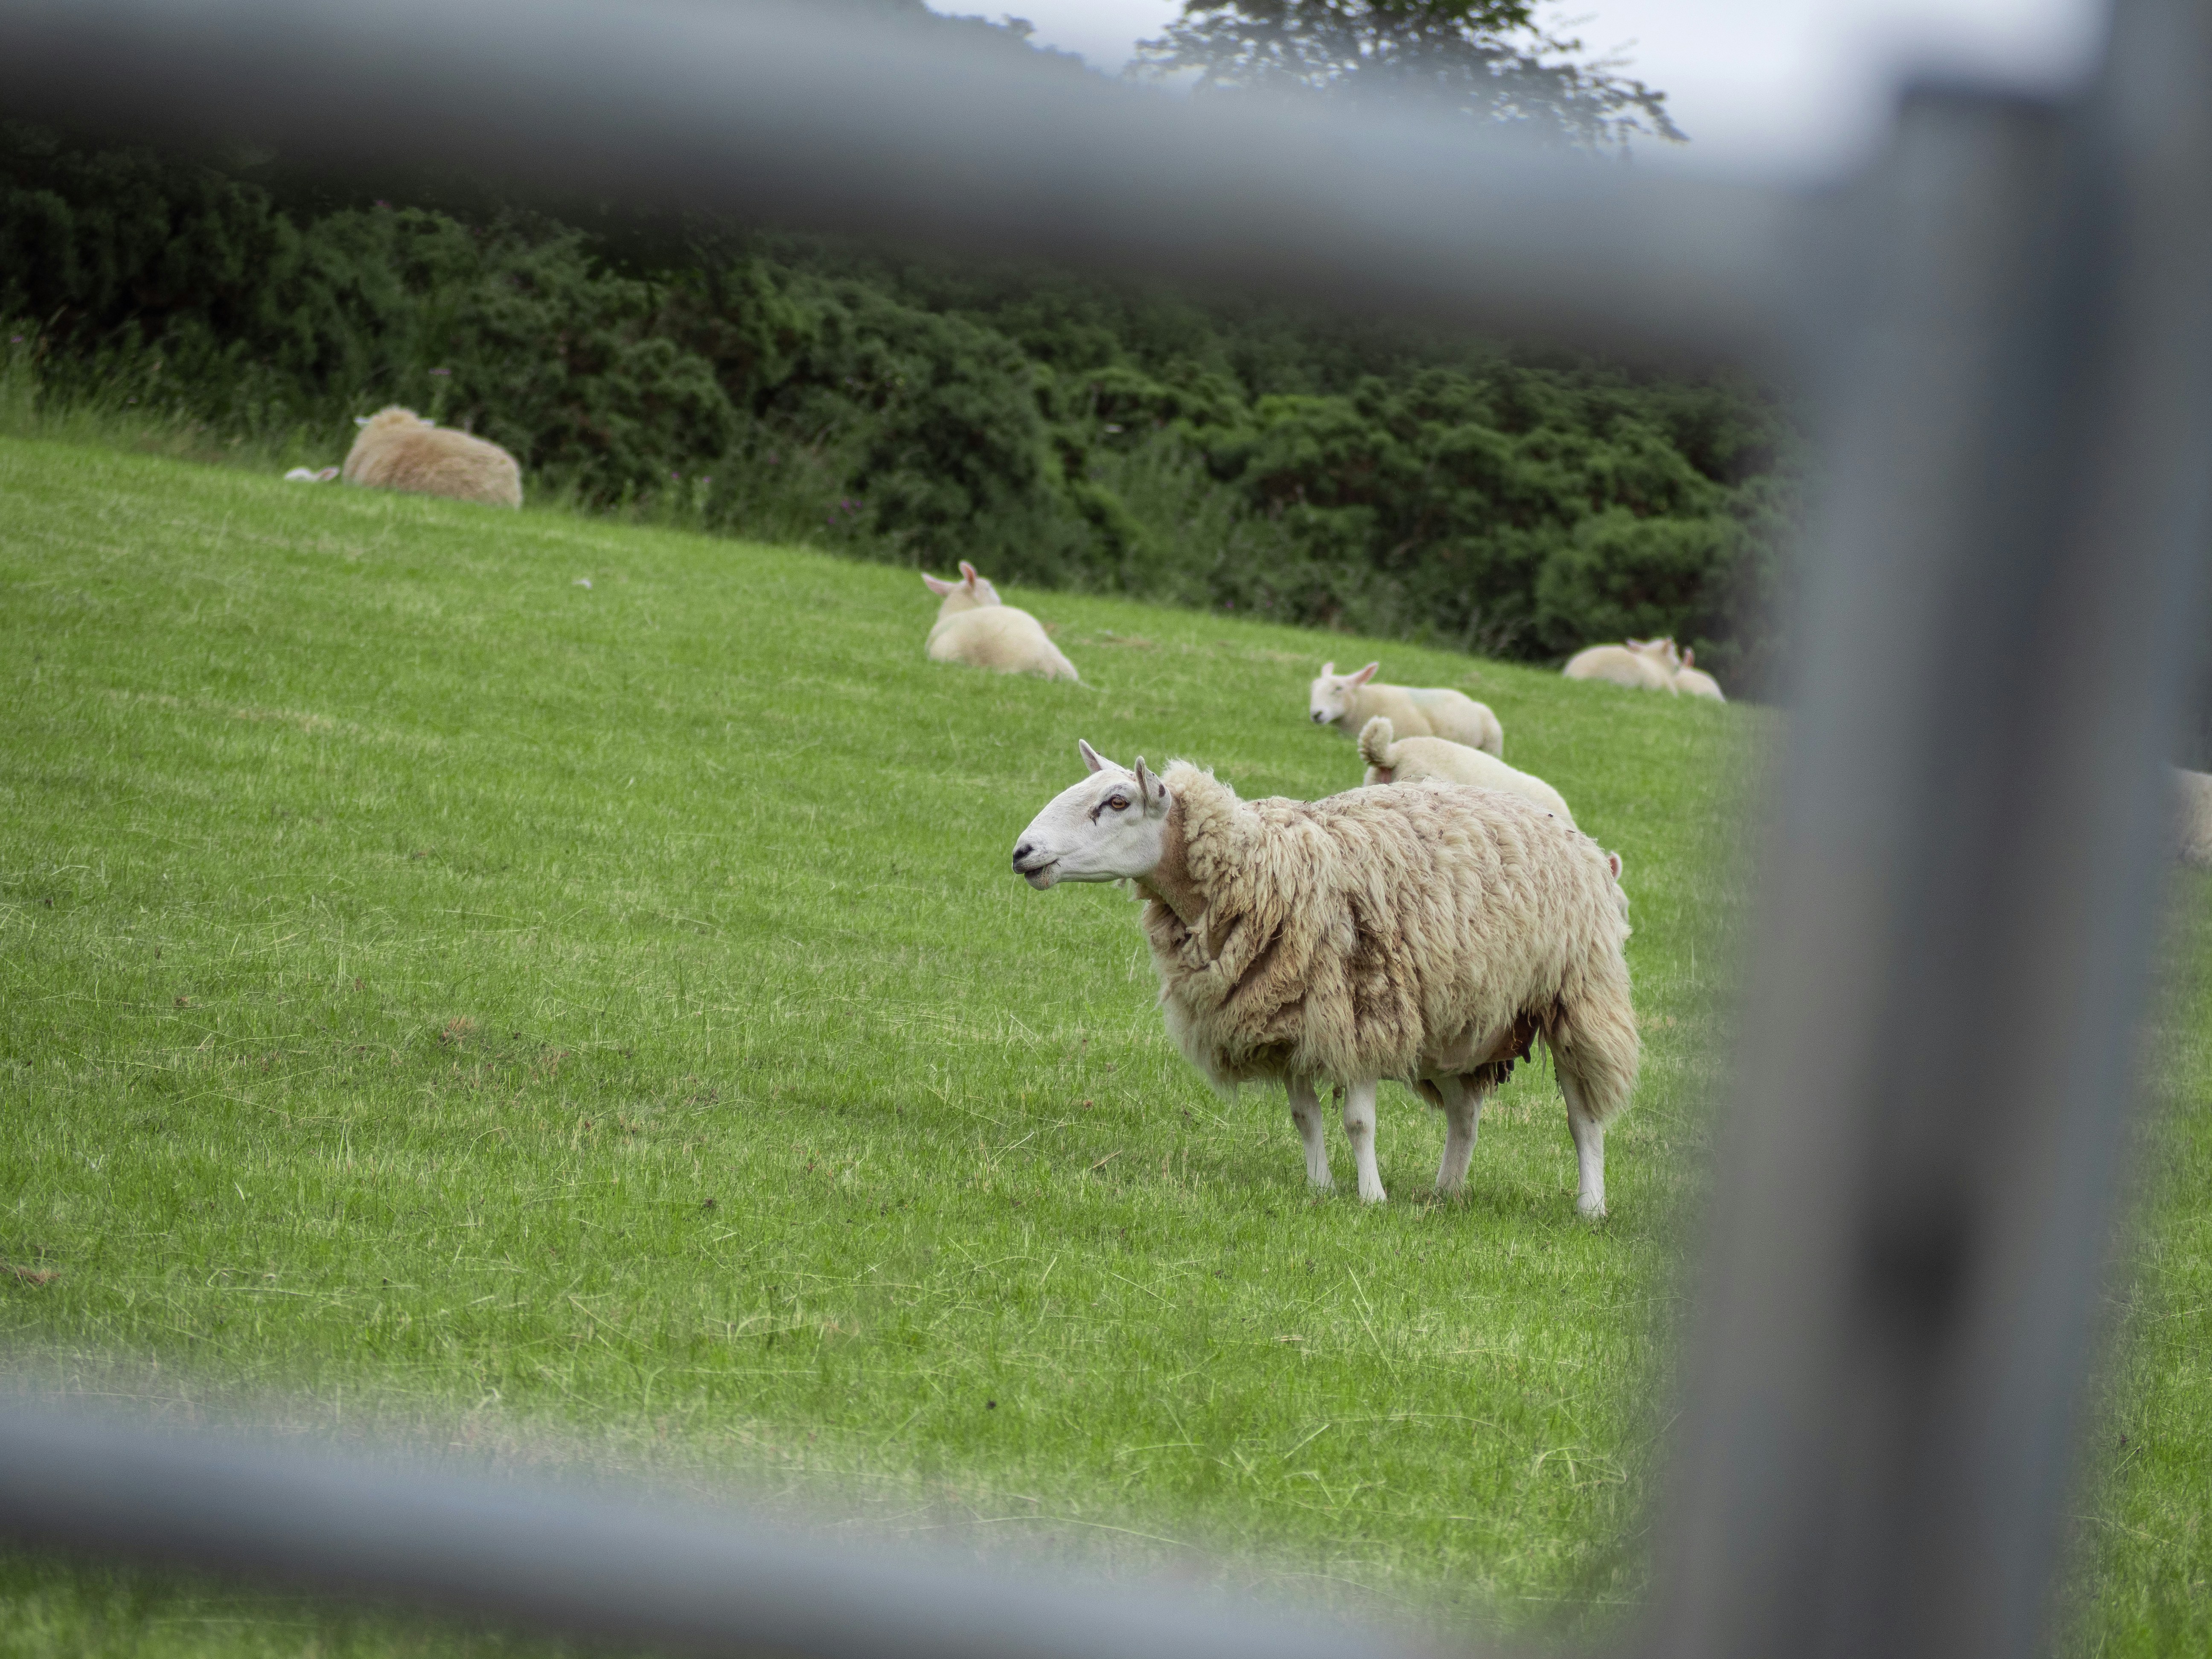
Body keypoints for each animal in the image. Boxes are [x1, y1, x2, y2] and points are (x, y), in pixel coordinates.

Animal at [1010, 741, 1638, 1214]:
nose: (1022, 852)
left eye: (1117, 802)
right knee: (1465, 1115)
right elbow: (1304, 1118)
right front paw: (1320, 1188)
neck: (1263, 867)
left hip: (1577, 995)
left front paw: (1371, 1199)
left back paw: (1591, 1206)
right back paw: (1446, 1194)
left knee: (1583, 1116)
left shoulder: (1359, 1009)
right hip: (1464, 1012)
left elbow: (1358, 1122)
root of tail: (1585, 844)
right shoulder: (1287, 1017)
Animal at [1307, 661, 1504, 757]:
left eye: (1338, 689)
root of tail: (1473, 703)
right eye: (1313, 687)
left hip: (1493, 746)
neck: (1363, 704)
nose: (1317, 714)